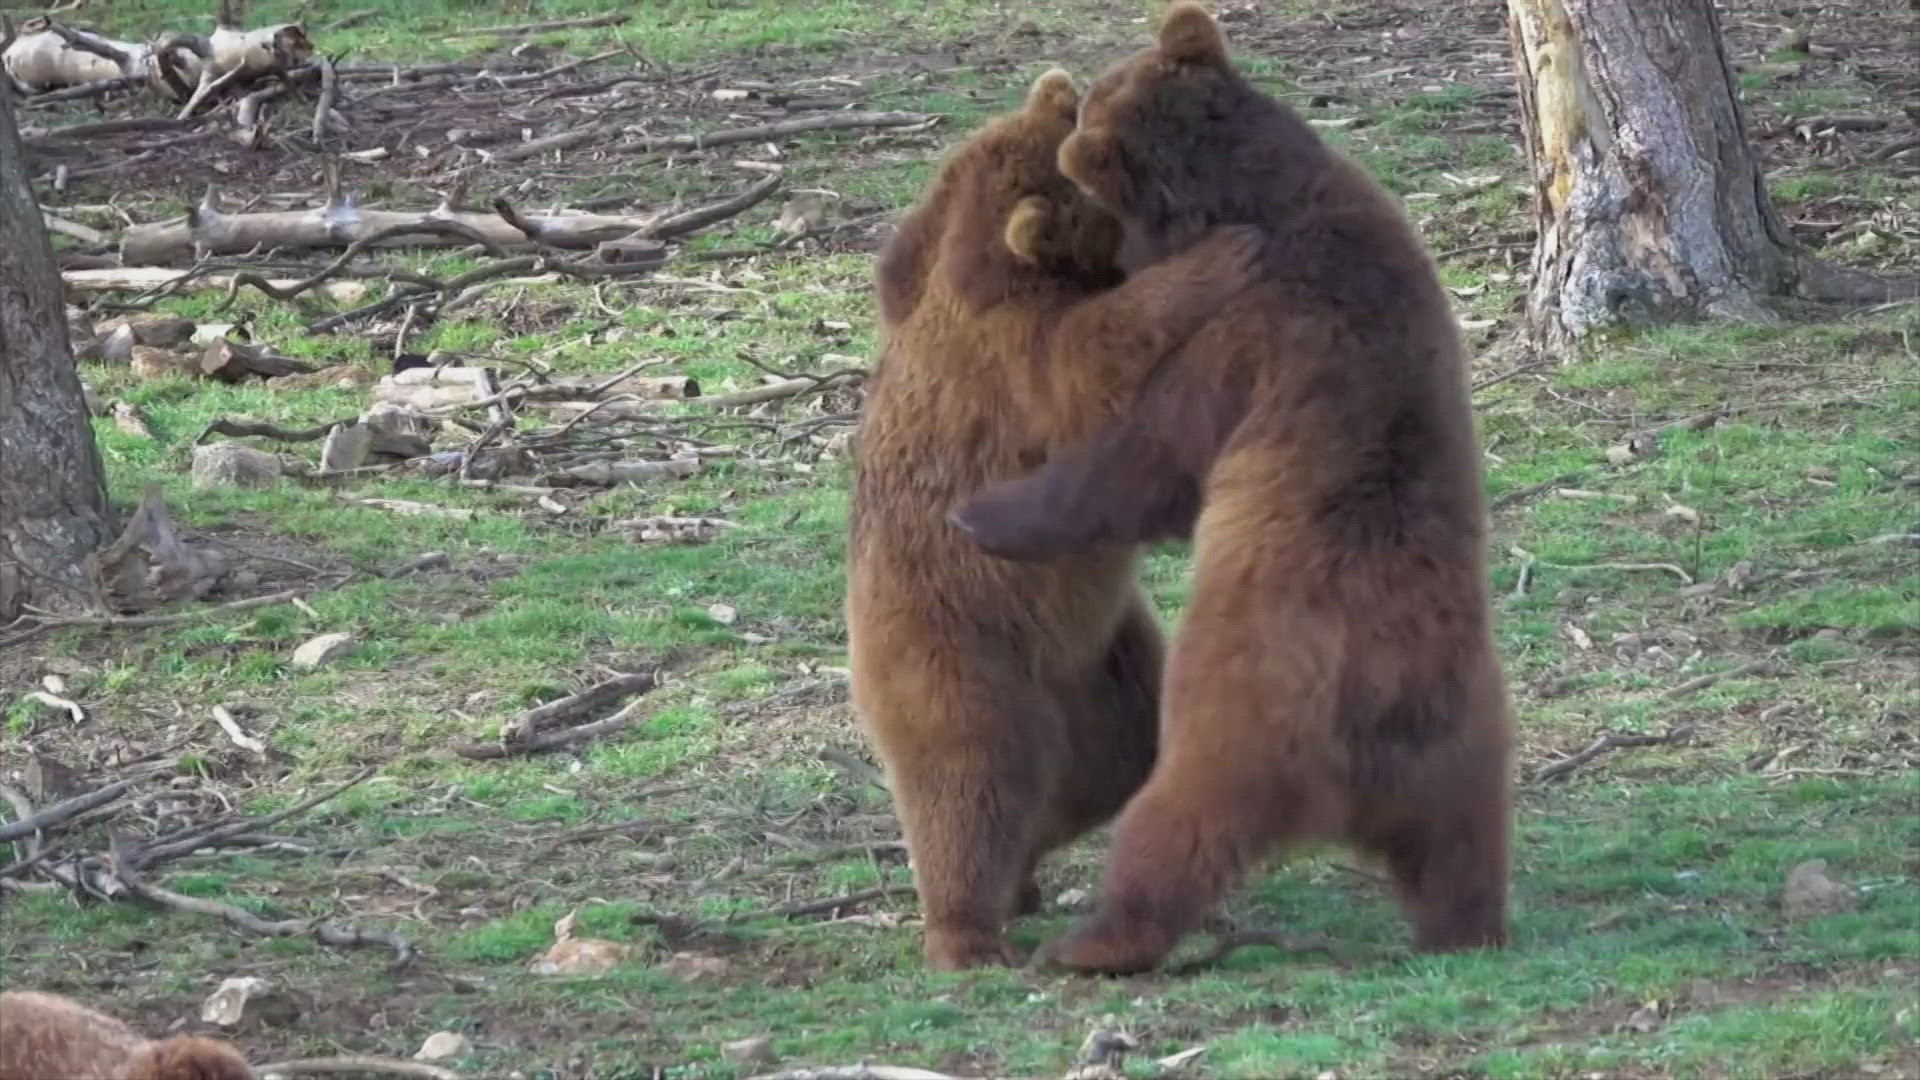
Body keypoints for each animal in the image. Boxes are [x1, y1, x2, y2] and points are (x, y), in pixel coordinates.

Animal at [847, 66, 1266, 970]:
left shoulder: (927, 254)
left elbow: (901, 256)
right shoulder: (1011, 361)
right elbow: (1095, 353)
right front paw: (1224, 257)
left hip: (1103, 663)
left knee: (1119, 756)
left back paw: (1029, 871)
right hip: (955, 647)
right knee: (969, 780)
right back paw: (967, 931)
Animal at [948, 3, 1515, 976]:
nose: (1068, 101)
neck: (1251, 201)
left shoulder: (1255, 332)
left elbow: (1145, 460)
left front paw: (986, 514)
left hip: (1235, 725)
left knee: (1172, 827)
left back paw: (1093, 941)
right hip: (1465, 743)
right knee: (1464, 845)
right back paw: (1469, 928)